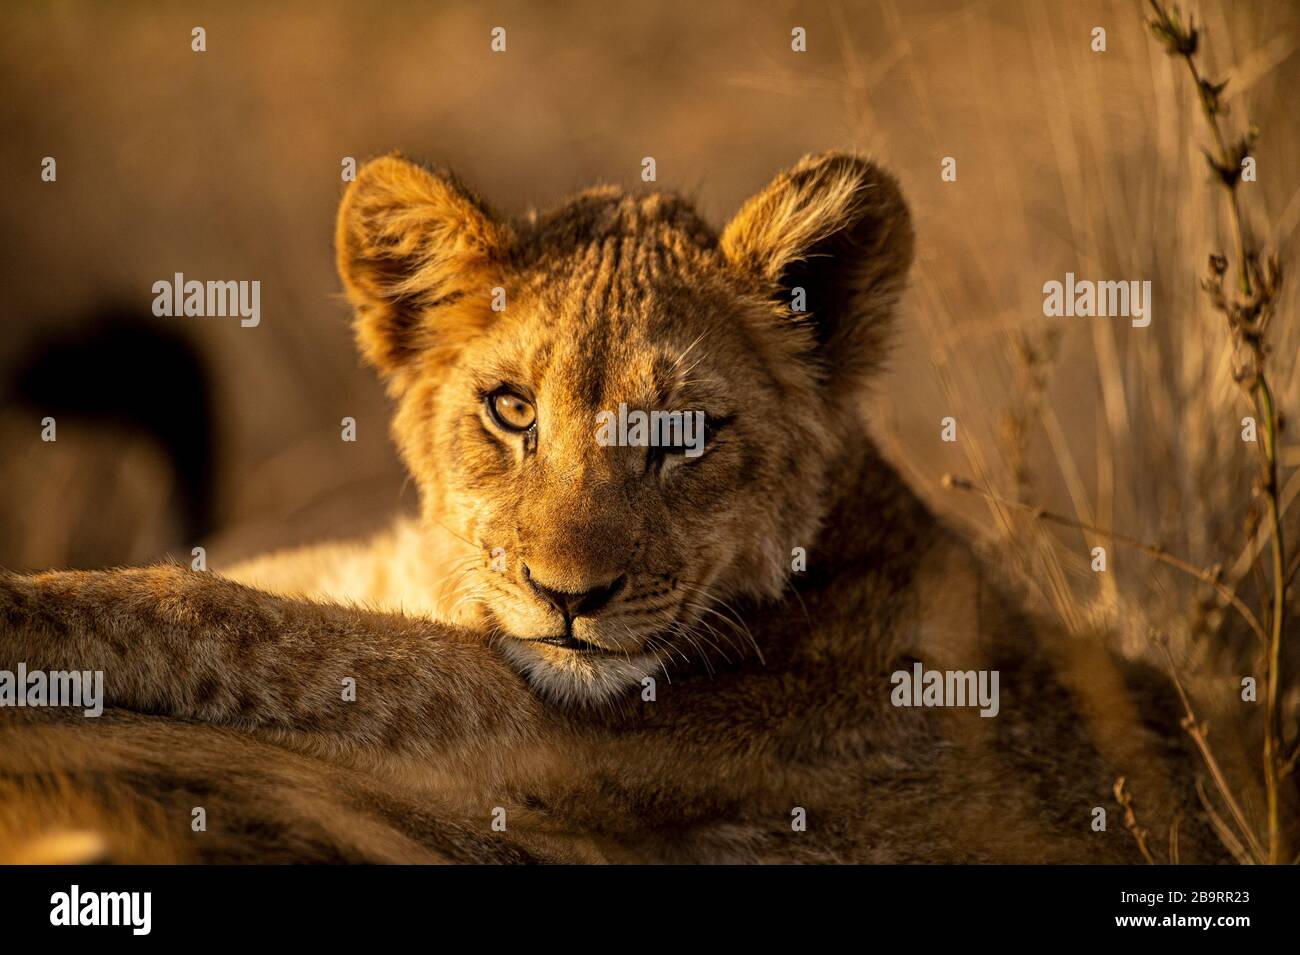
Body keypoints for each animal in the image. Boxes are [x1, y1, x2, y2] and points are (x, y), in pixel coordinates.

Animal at [0, 152, 1223, 863]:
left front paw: (26, 615)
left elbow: (240, 624)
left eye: (682, 435)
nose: (569, 597)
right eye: (510, 409)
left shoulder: (558, 743)